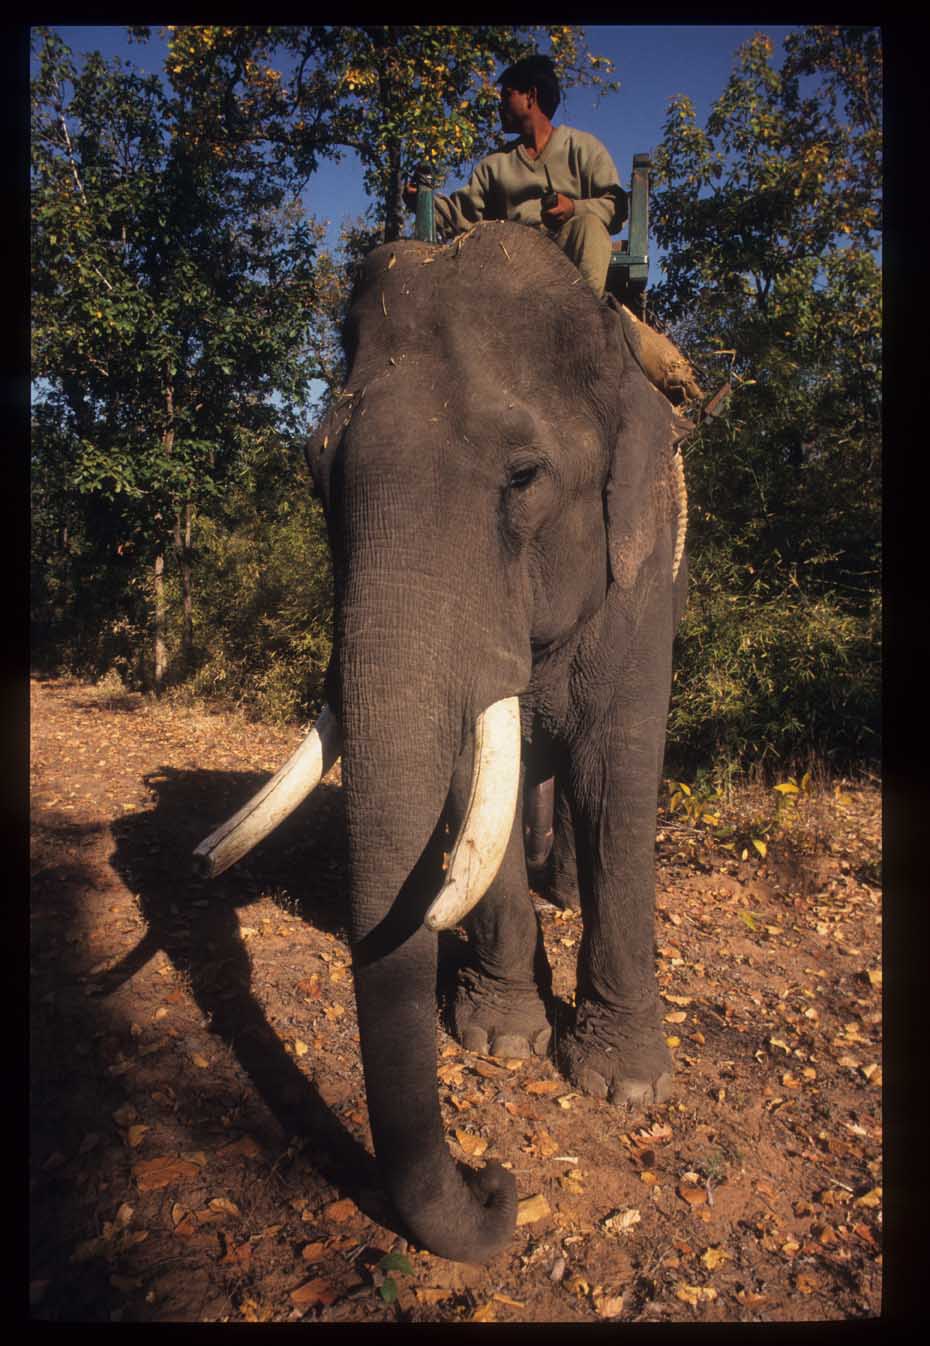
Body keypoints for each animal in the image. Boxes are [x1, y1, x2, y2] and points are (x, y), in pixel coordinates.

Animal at [194, 219, 691, 1265]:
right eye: (316, 476)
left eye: (524, 477)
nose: (496, 1183)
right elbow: (473, 775)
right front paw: (500, 1043)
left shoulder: (639, 576)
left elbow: (620, 775)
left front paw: (626, 1087)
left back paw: (565, 892)